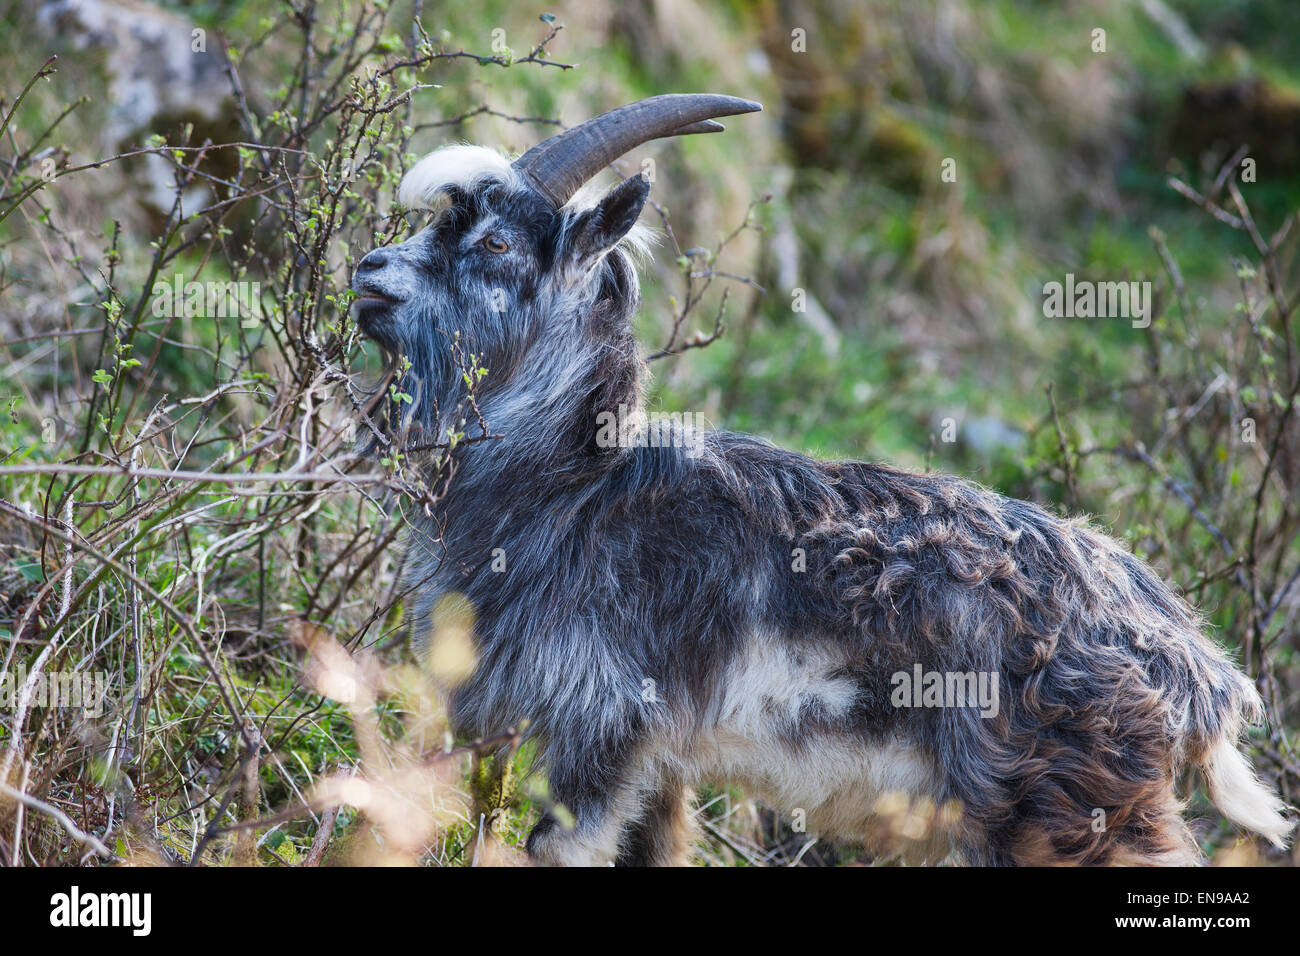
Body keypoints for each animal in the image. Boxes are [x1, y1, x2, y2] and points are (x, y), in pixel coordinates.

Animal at [350, 94, 1292, 865]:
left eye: (496, 242)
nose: (367, 272)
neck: (575, 491)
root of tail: (1195, 669)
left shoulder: (598, 732)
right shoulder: (653, 767)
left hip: (1068, 811)